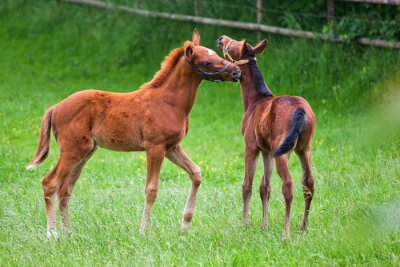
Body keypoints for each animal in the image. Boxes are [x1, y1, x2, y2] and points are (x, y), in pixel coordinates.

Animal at [28, 30, 241, 239]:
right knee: (50, 183)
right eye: (206, 62)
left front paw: (184, 226)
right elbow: (151, 189)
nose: (236, 72)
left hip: (86, 151)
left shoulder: (171, 147)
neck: (169, 102)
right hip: (73, 150)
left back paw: (69, 234)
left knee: (65, 189)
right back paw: (52, 234)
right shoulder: (155, 146)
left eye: (216, 54)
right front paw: (143, 231)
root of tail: (56, 107)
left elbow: (196, 173)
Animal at [217, 35, 318, 241]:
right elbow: (265, 187)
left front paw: (245, 223)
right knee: (308, 183)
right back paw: (303, 226)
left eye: (233, 45)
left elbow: (247, 185)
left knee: (288, 185)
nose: (221, 38)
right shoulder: (267, 150)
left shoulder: (251, 146)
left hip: (283, 151)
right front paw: (264, 225)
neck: (253, 101)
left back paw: (286, 233)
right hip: (304, 147)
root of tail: (301, 112)